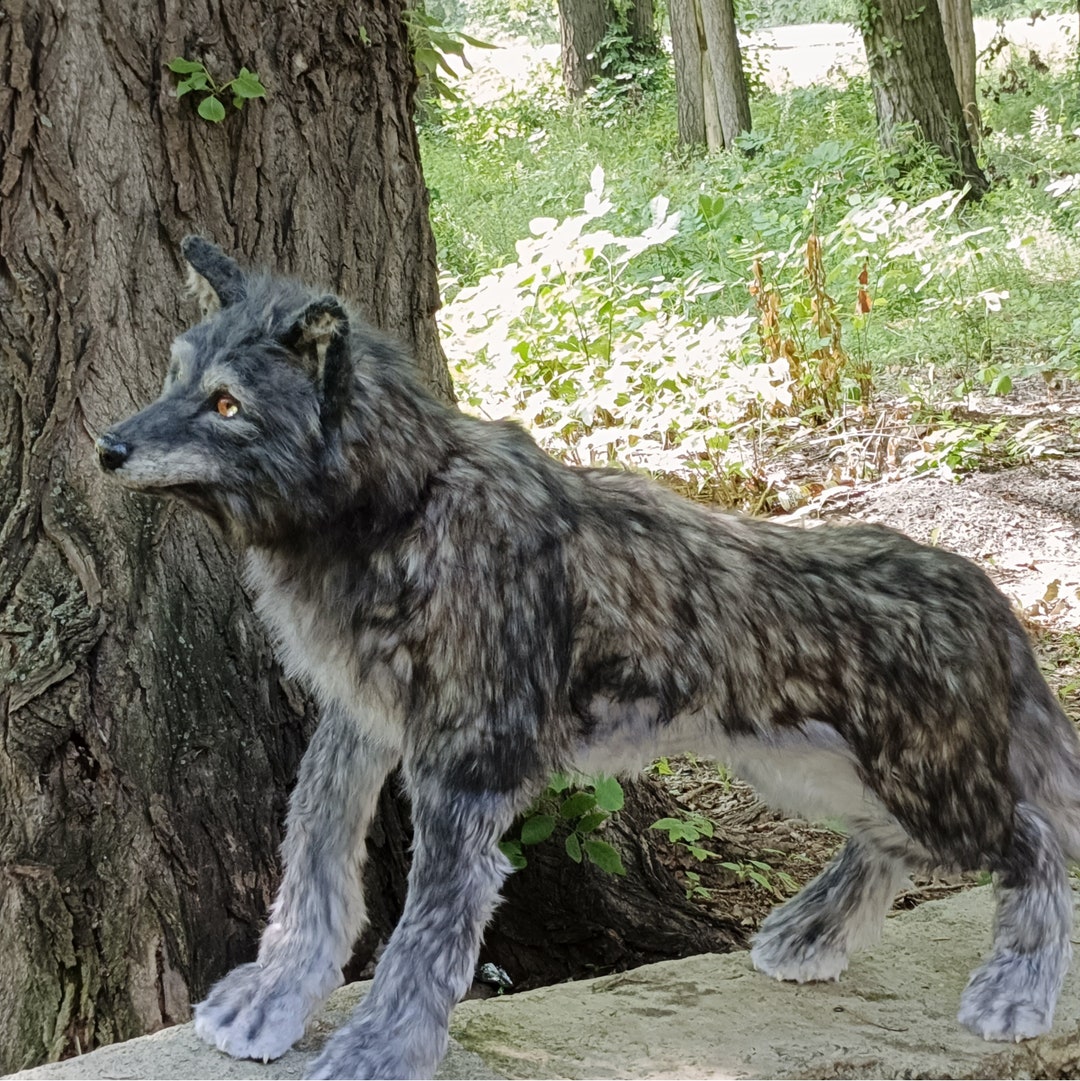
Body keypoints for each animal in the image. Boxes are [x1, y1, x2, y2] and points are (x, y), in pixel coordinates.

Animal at [97, 237, 1079, 1079]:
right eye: (175, 375)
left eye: (228, 404)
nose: (108, 446)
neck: (403, 504)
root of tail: (983, 593)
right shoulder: (357, 731)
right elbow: (313, 874)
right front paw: (272, 1000)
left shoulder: (467, 769)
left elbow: (423, 935)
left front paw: (380, 1047)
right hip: (811, 767)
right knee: (890, 844)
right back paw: (813, 934)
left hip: (921, 780)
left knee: (1035, 845)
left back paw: (1018, 989)